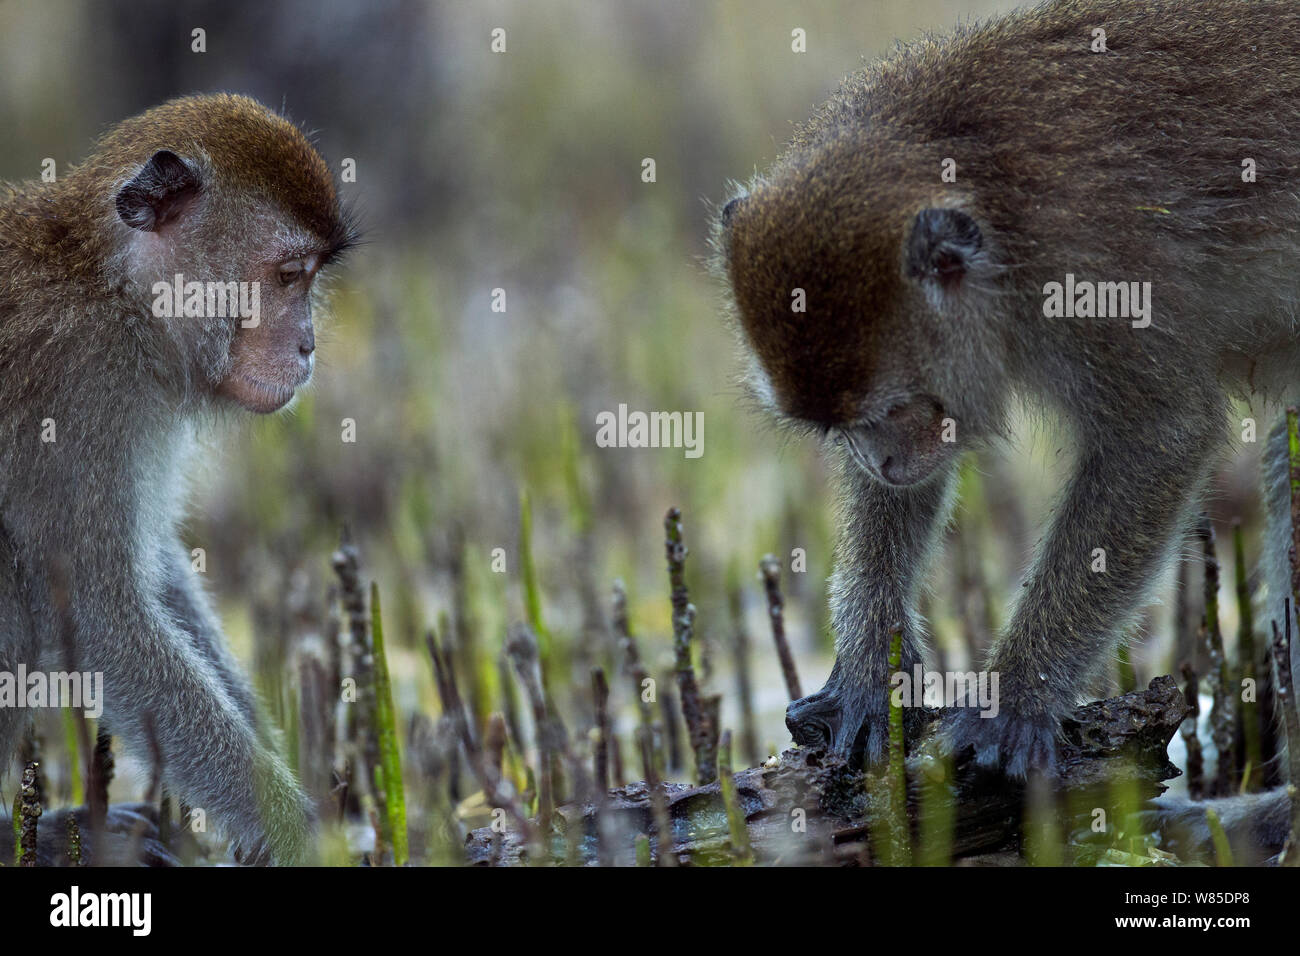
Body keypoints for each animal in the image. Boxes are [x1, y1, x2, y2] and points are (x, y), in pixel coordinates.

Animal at [0, 93, 356, 864]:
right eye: (289, 274)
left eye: (310, 275)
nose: (308, 346)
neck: (110, 288)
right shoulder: (83, 393)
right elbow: (101, 615)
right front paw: (299, 832)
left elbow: (159, 571)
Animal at [715, 0, 1300, 846]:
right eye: (841, 429)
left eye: (890, 411)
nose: (881, 459)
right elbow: (912, 496)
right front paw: (870, 670)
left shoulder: (1093, 273)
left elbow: (1160, 437)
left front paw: (1015, 697)